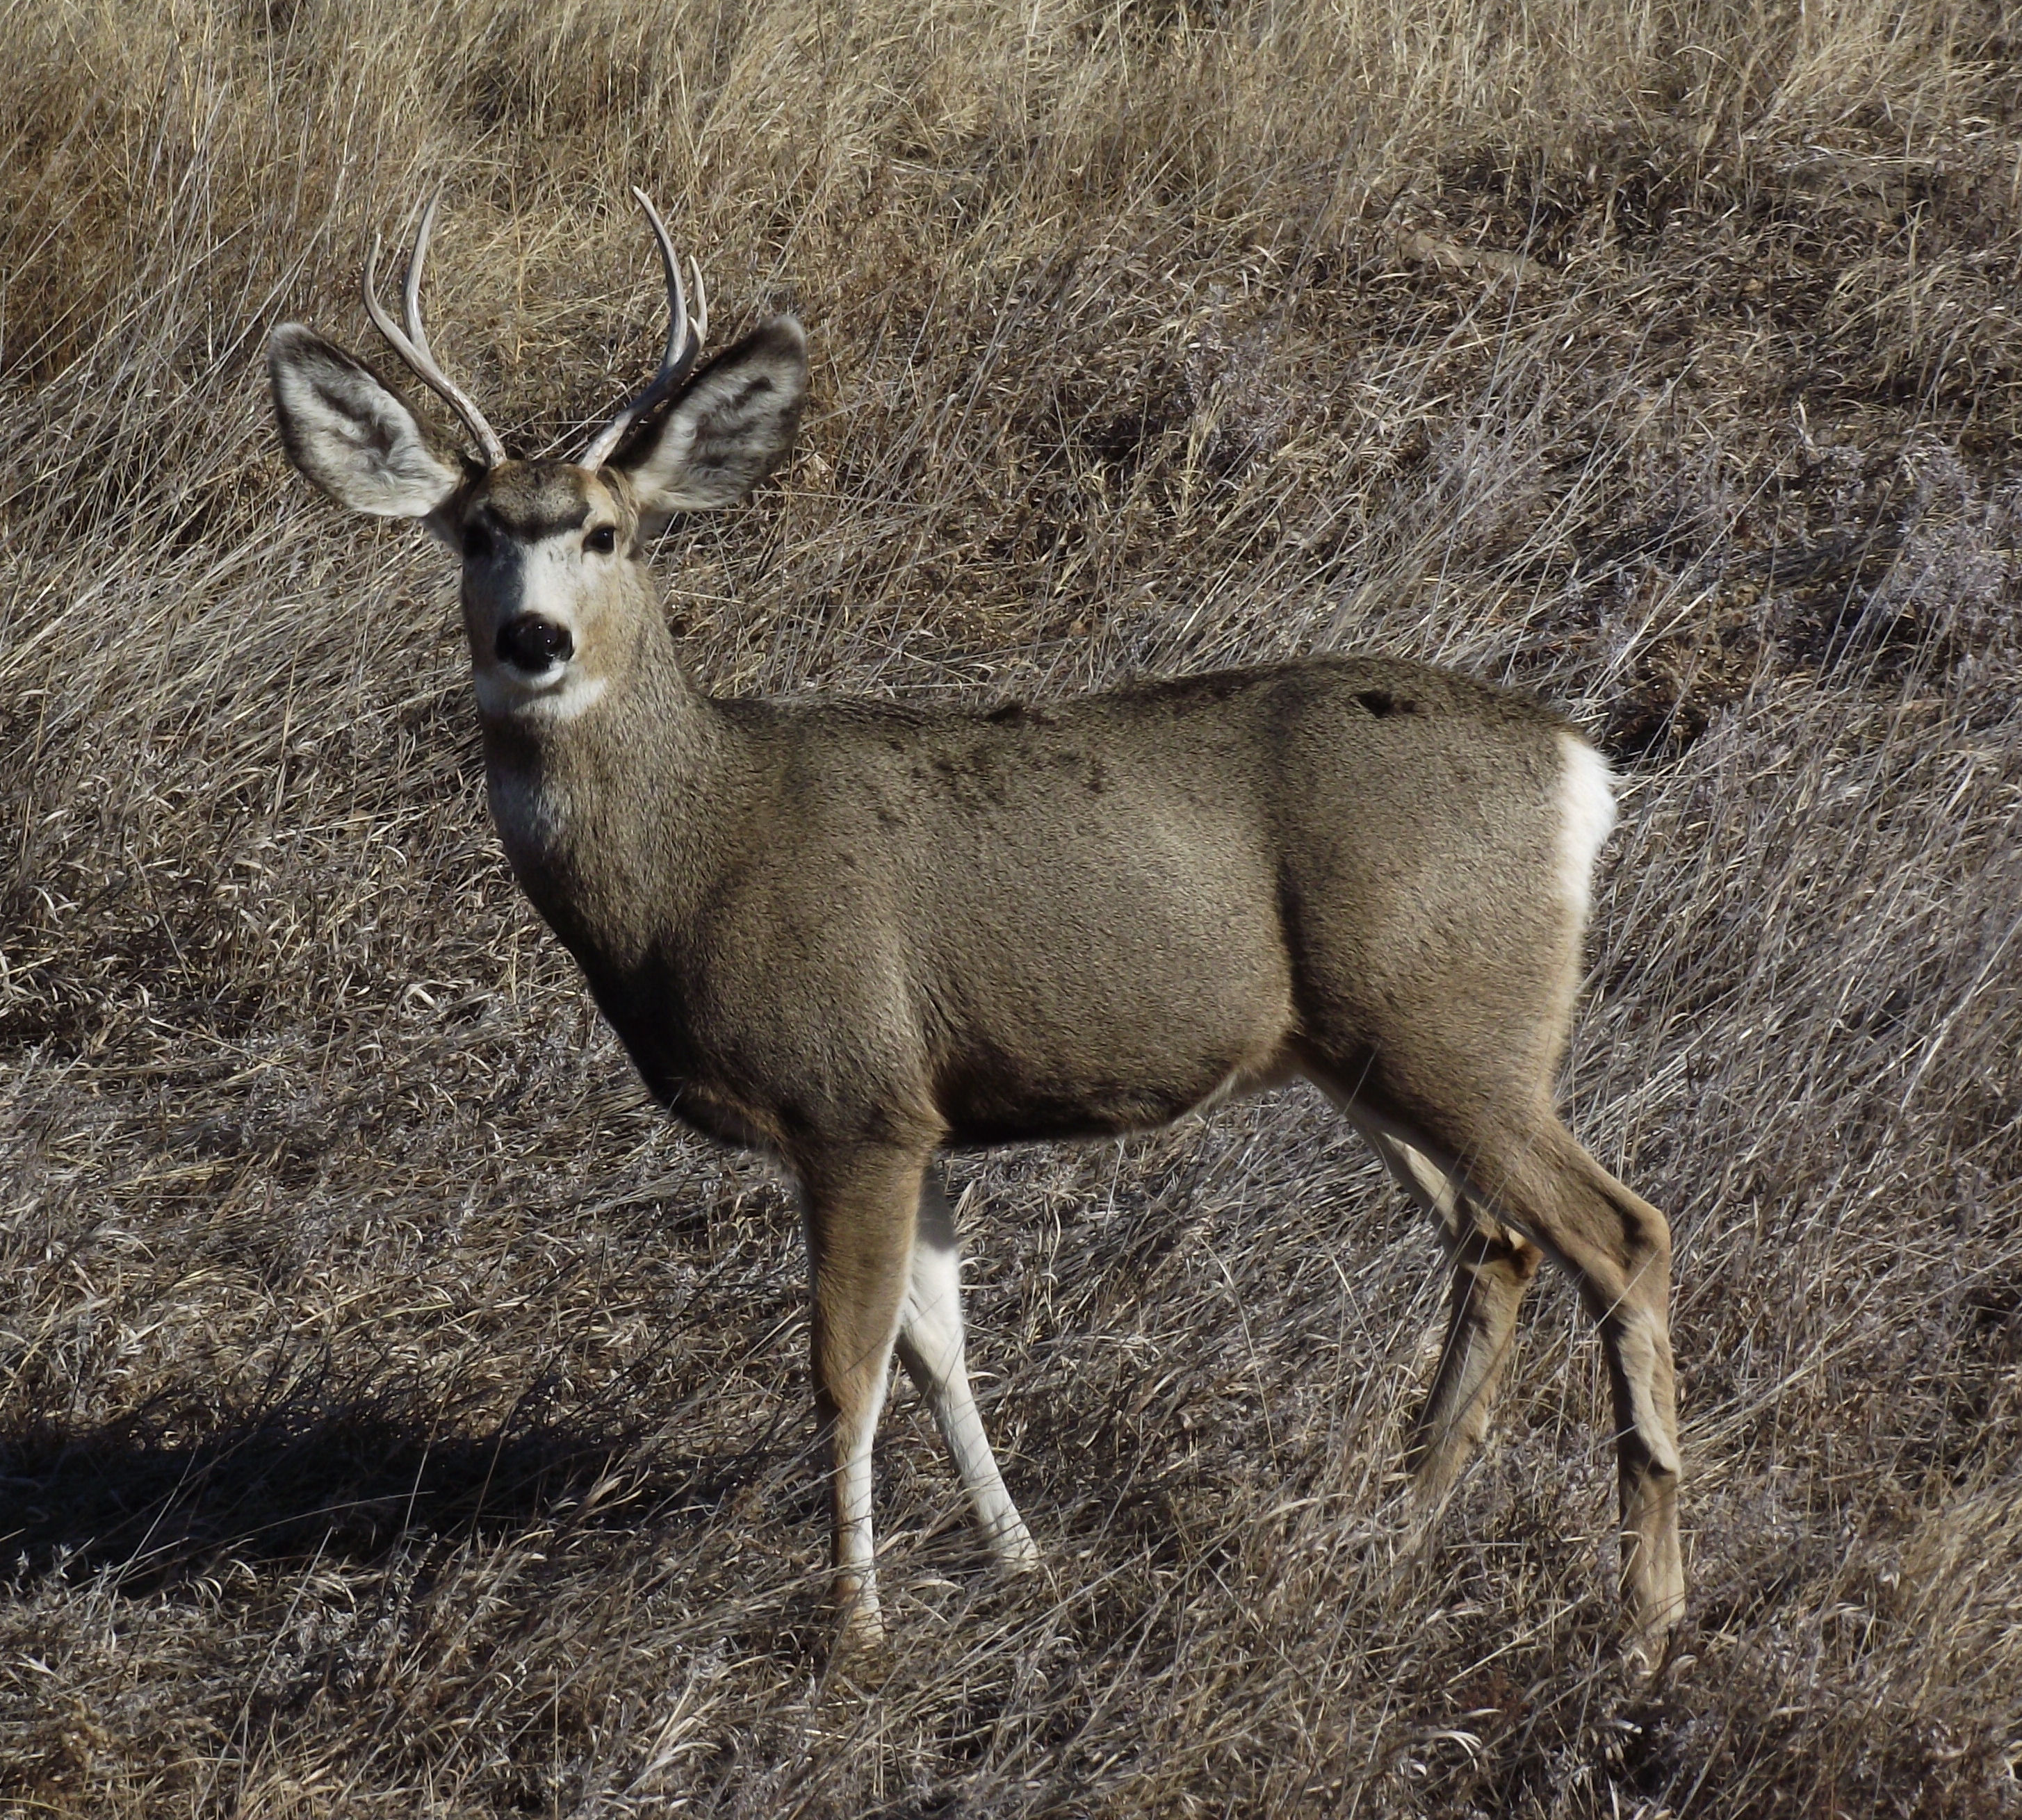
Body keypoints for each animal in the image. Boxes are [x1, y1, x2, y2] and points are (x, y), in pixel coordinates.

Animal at [266, 191, 1685, 1672]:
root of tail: (1581, 770)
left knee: (1622, 1233)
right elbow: (940, 1349)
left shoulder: (853, 1099)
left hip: (1458, 1027)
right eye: (475, 530)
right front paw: (1019, 1557)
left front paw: (855, 1625)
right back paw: (1390, 1531)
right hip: (1366, 1052)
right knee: (1494, 1244)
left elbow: (844, 1371)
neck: (698, 849)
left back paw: (1643, 1612)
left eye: (608, 532)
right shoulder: (927, 1119)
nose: (534, 639)